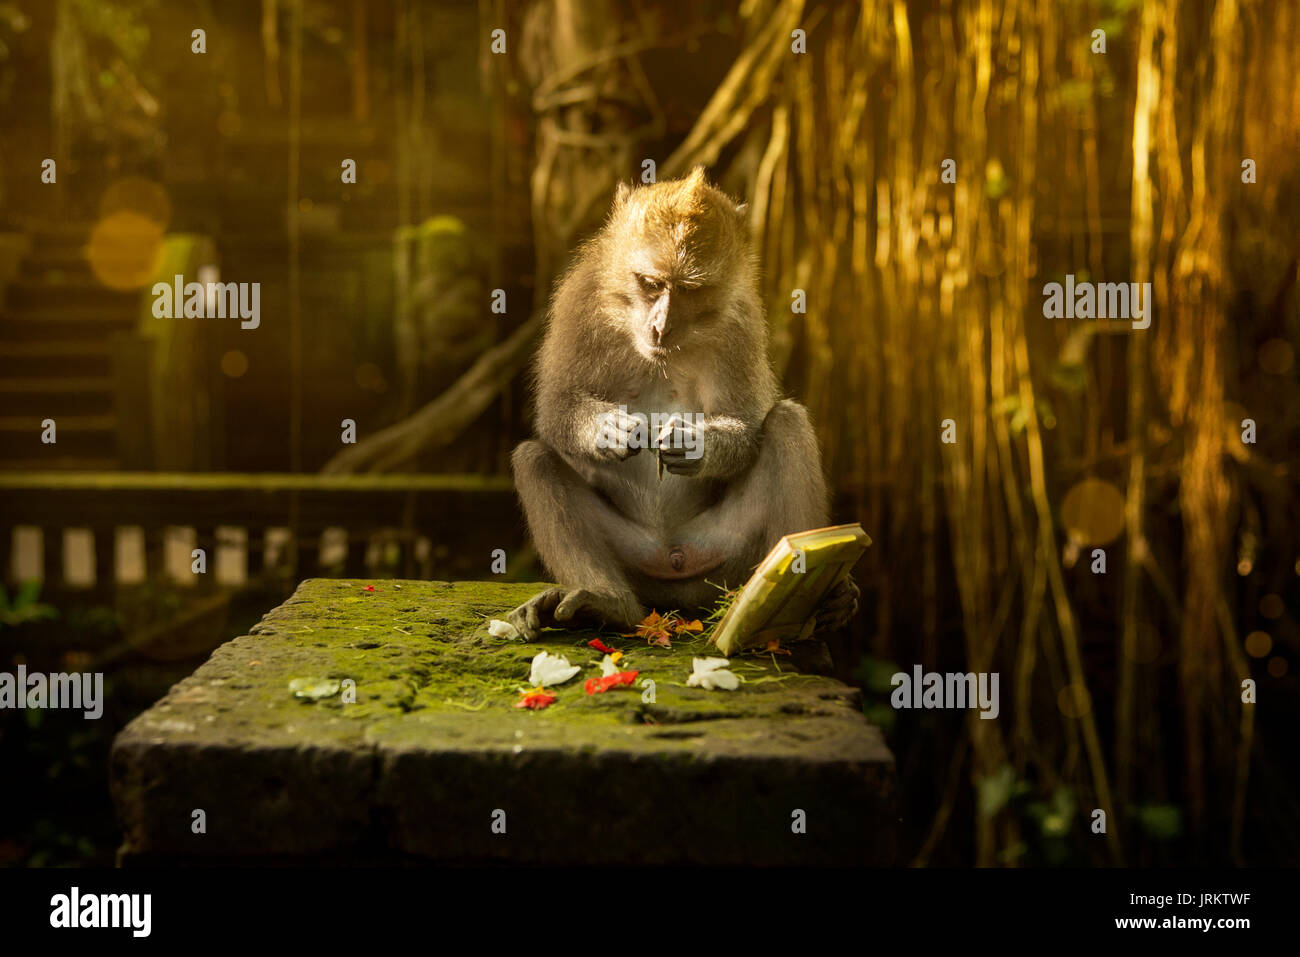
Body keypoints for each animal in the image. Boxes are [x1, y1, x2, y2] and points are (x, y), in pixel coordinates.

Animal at [507, 167, 857, 641]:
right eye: (651, 284)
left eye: (690, 289)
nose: (660, 328)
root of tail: (673, 577)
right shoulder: (582, 298)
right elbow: (555, 408)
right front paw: (605, 430)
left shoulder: (740, 318)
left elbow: (744, 425)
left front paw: (695, 445)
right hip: (637, 563)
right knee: (534, 459)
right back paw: (607, 602)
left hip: (726, 557)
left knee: (787, 423)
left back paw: (794, 604)